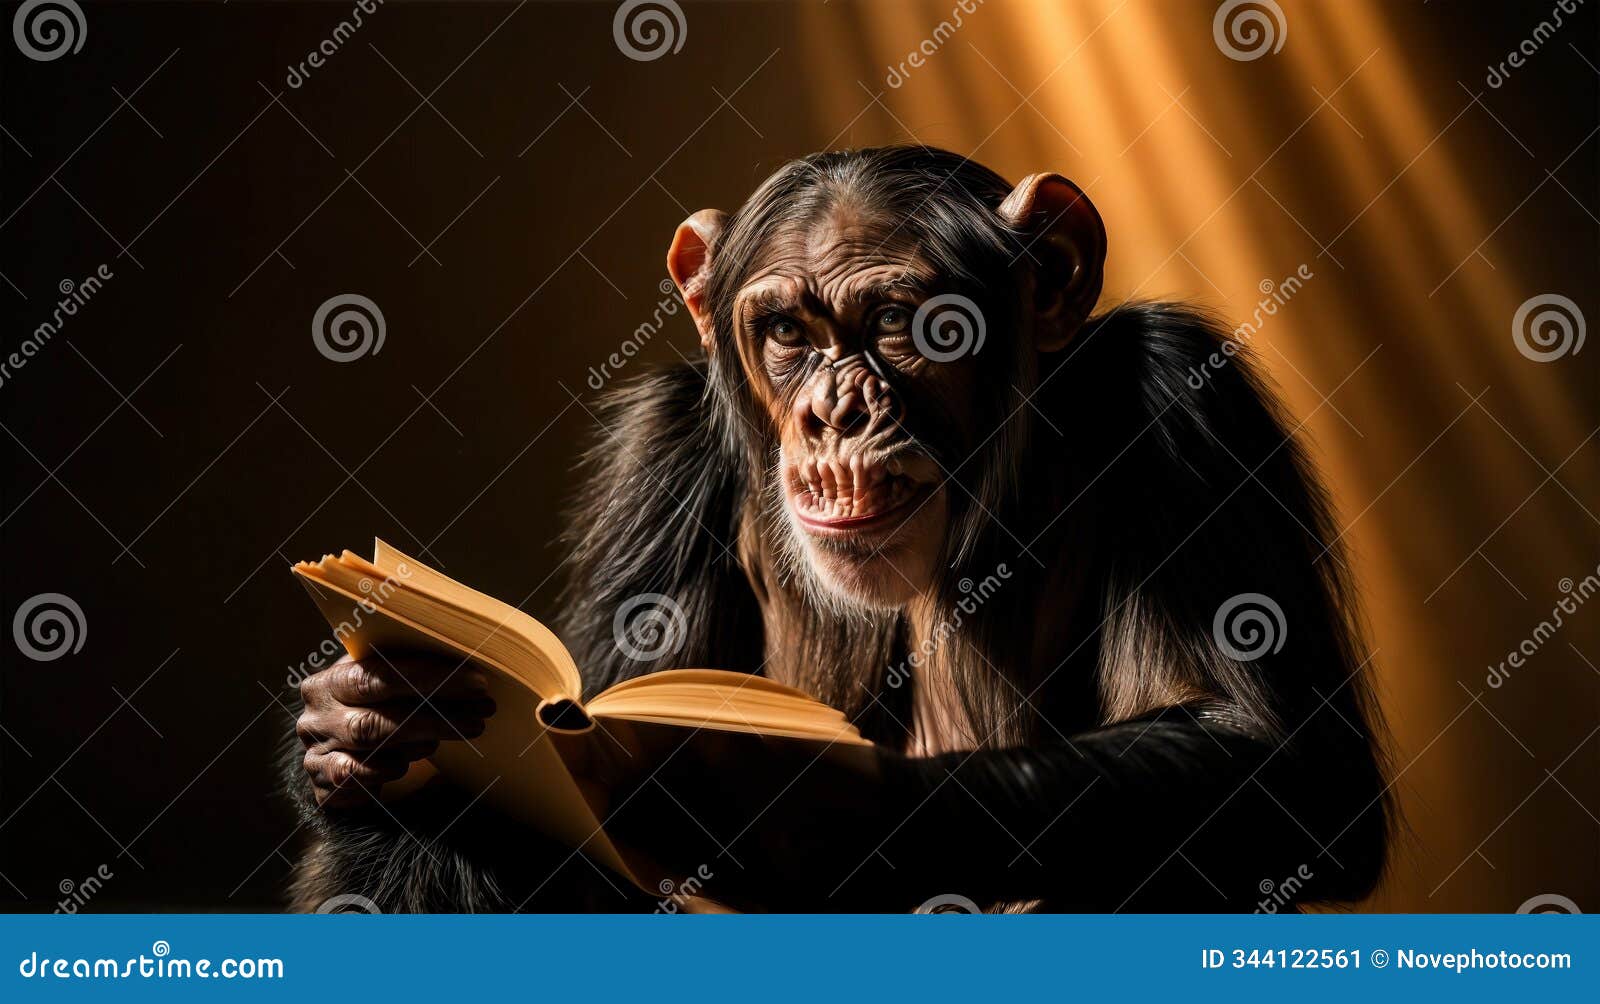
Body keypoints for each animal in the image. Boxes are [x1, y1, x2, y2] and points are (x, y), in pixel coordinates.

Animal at [282, 146, 1392, 913]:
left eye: (905, 322)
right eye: (787, 332)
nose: (834, 412)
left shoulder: (1185, 399)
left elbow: (1273, 748)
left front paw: (817, 804)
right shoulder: (661, 454)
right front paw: (370, 715)